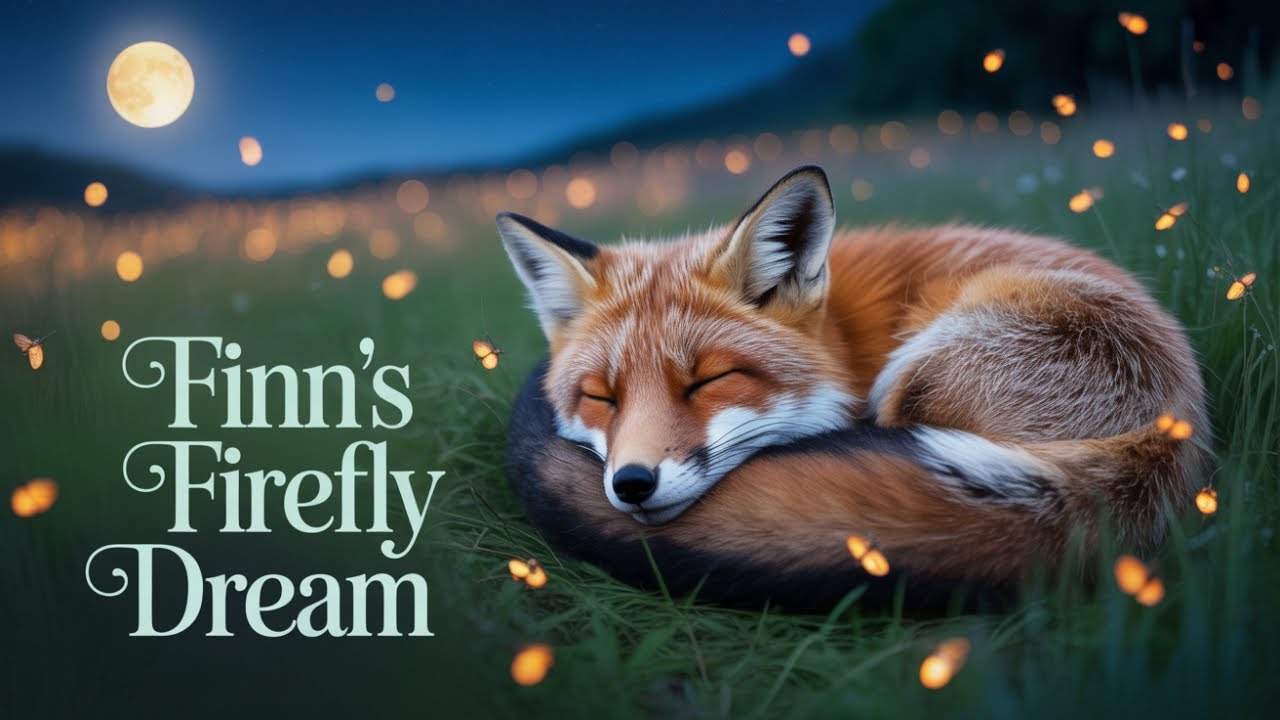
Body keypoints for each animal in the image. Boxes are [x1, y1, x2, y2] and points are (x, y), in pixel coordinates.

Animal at [498, 166, 1207, 610]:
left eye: (711, 380)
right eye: (601, 397)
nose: (632, 483)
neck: (843, 340)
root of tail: (1172, 428)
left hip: (921, 368)